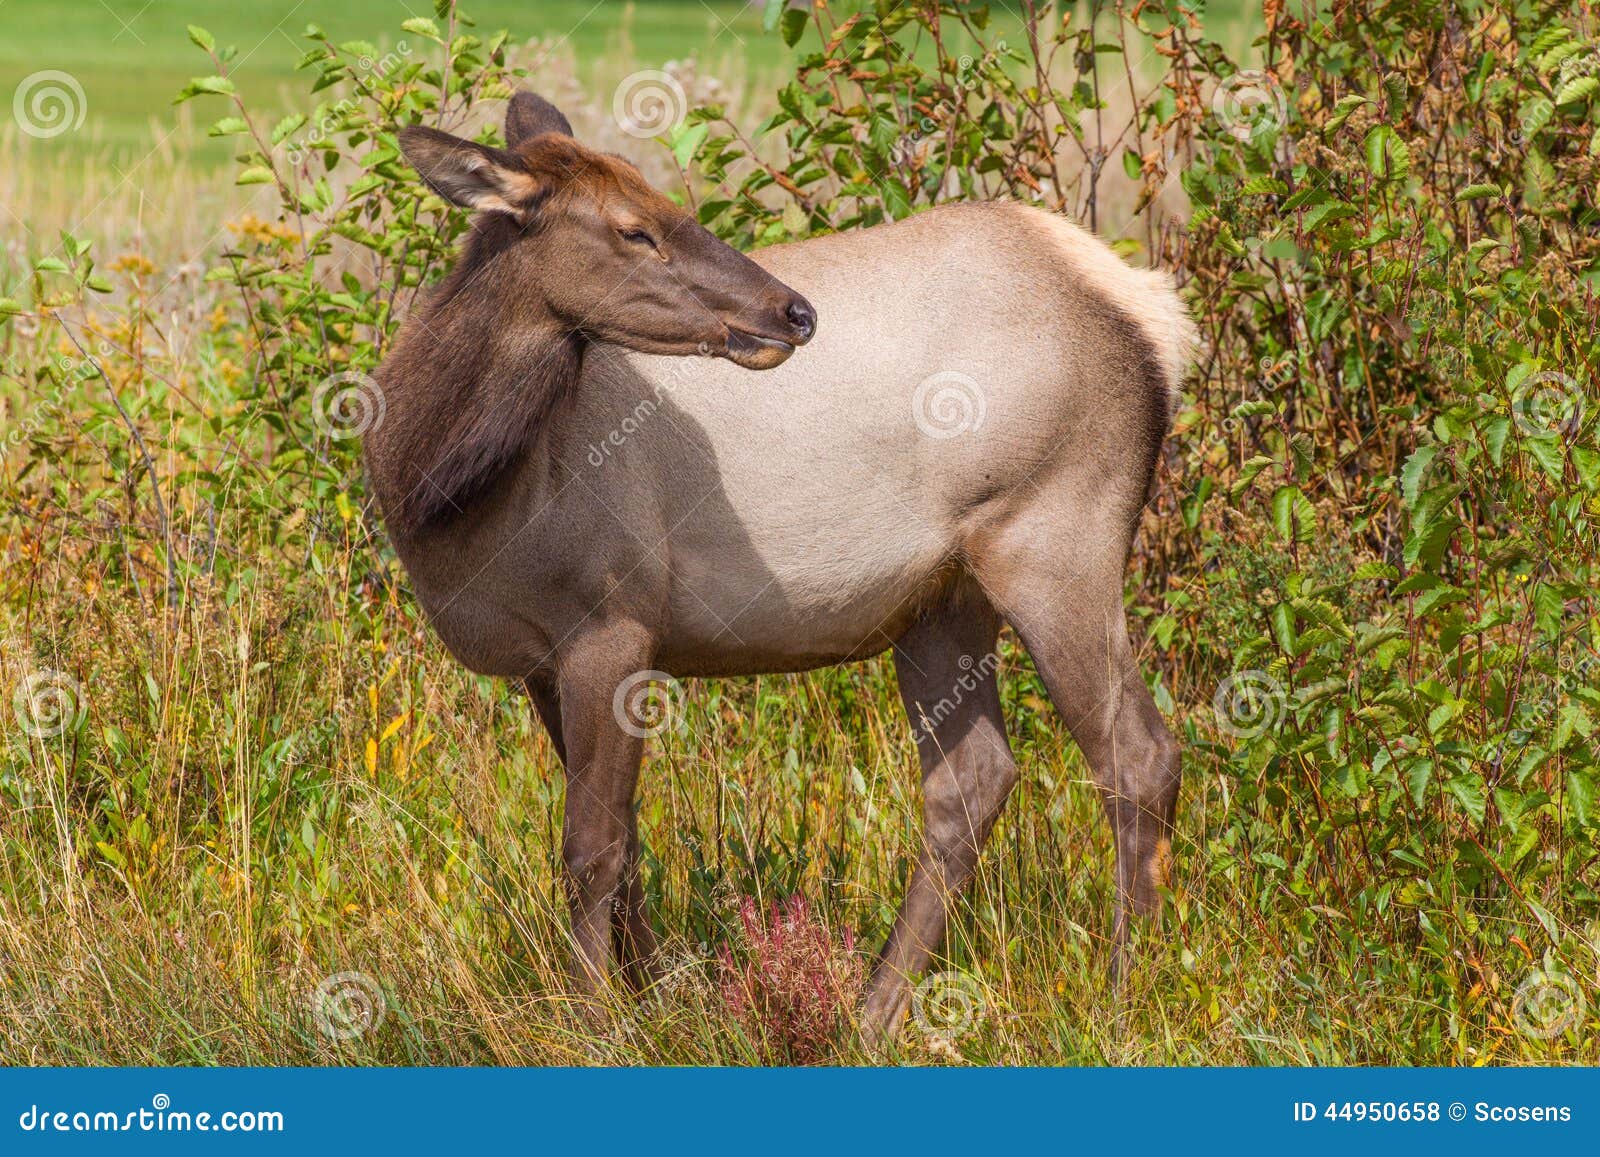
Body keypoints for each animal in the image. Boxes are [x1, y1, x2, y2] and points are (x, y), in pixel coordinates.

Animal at [364, 91, 1196, 1044]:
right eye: (633, 228)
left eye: (663, 202)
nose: (793, 311)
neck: (448, 491)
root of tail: (1153, 317)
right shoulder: (543, 659)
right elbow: (628, 840)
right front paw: (659, 1000)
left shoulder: (613, 619)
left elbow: (591, 849)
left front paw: (595, 1020)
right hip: (941, 598)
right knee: (972, 780)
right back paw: (872, 1015)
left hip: (1055, 536)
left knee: (1137, 755)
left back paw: (1121, 1000)